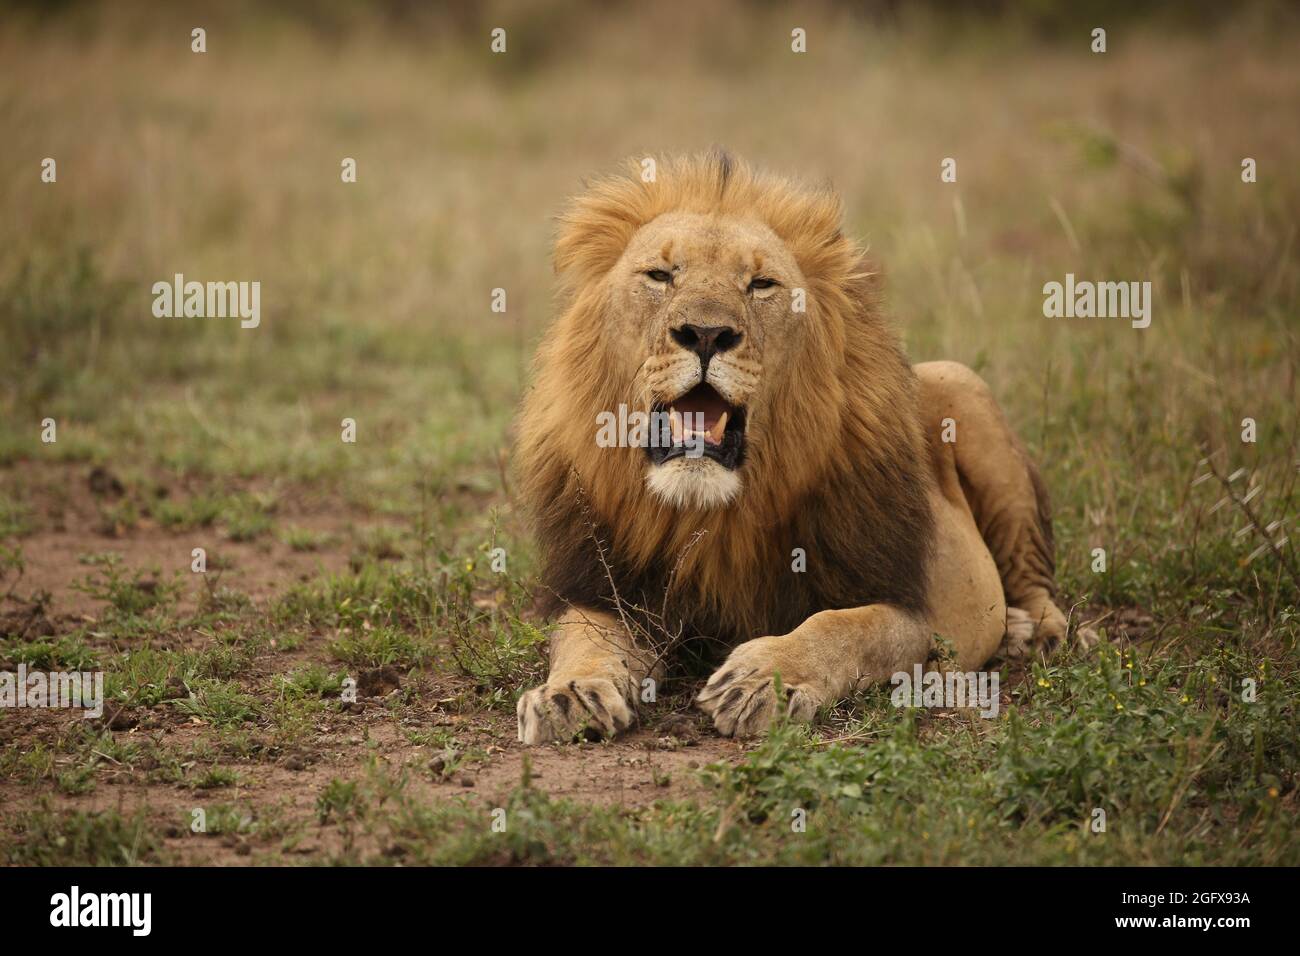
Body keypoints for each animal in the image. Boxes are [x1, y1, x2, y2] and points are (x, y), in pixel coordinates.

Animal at [515, 151, 1085, 744]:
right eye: (660, 275)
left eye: (761, 284)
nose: (705, 333)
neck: (708, 510)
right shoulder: (608, 589)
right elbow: (582, 635)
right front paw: (569, 694)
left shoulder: (910, 613)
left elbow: (839, 628)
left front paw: (759, 680)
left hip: (962, 385)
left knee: (1033, 572)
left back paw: (1035, 632)